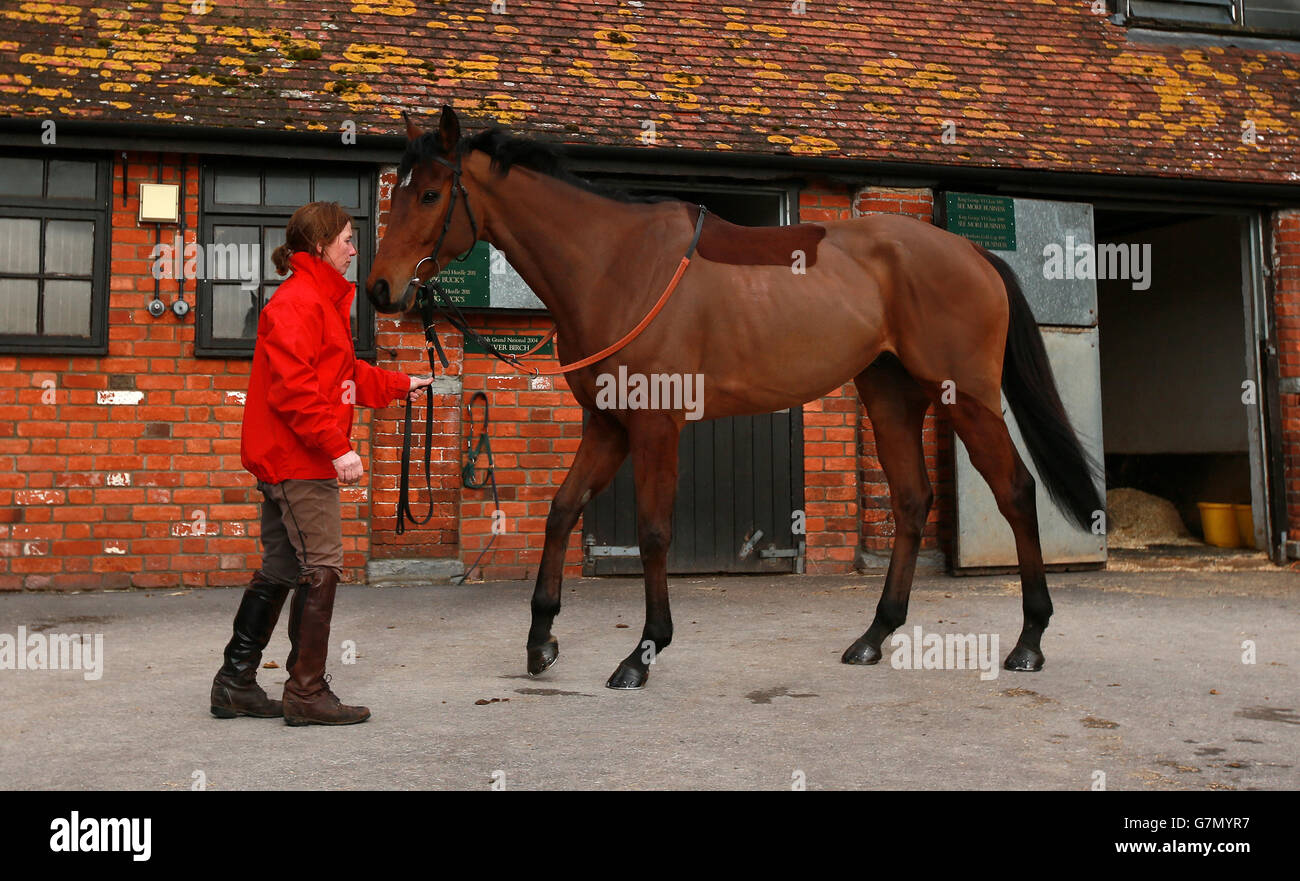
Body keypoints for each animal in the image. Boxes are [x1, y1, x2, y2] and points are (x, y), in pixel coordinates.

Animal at [366, 106, 1103, 690]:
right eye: (398, 193)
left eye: (430, 194)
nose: (380, 288)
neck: (614, 265)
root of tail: (976, 254)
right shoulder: (607, 424)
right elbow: (561, 511)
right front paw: (541, 640)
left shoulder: (654, 425)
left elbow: (653, 531)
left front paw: (642, 652)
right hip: (892, 396)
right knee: (912, 500)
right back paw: (873, 635)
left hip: (967, 398)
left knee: (1015, 492)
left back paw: (1029, 640)